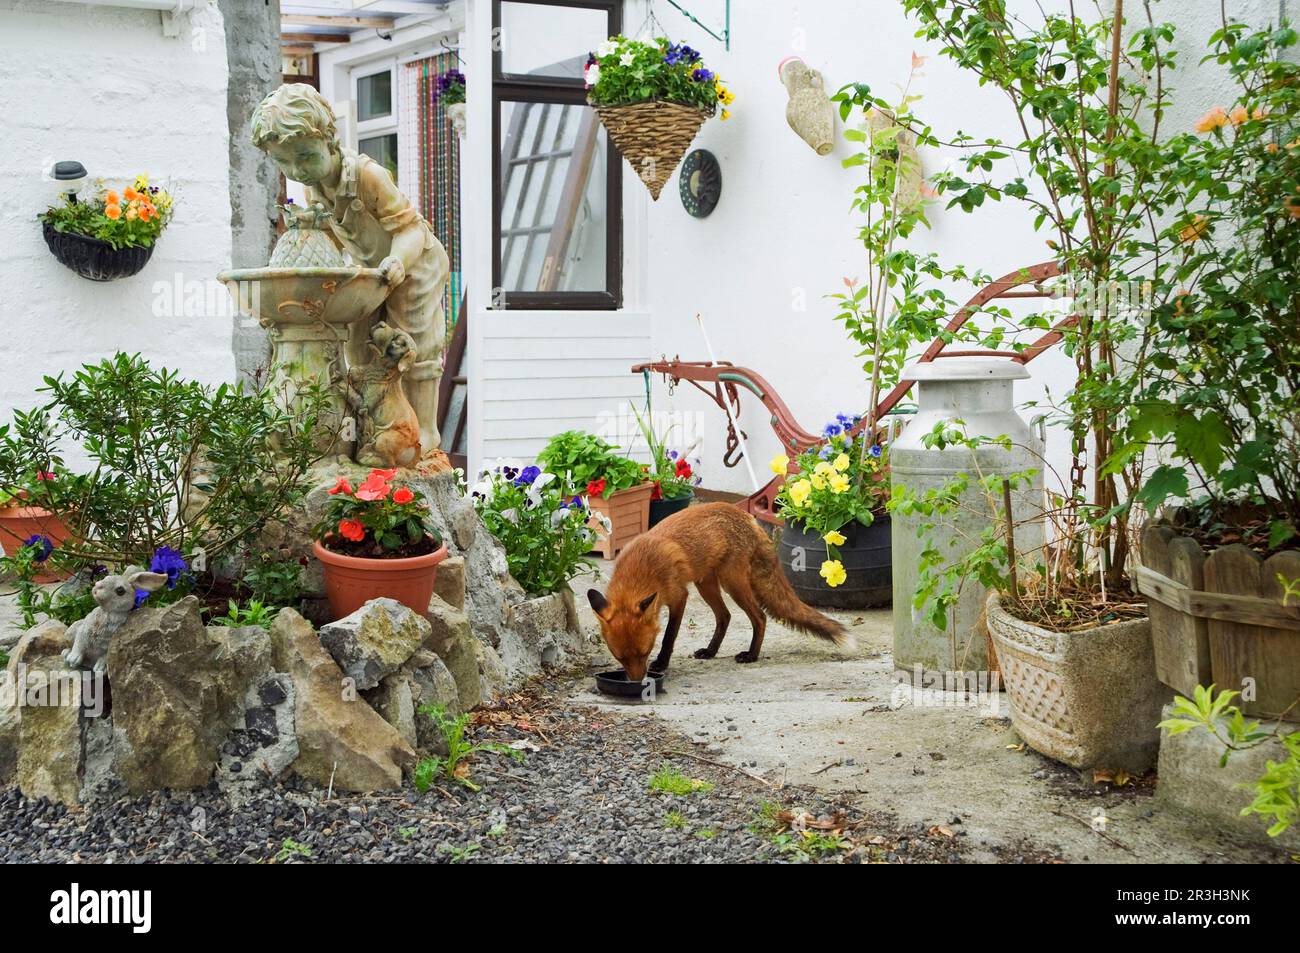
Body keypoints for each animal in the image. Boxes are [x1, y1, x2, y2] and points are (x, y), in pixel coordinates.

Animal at [587, 502, 855, 681]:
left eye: (644, 652)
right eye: (620, 658)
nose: (637, 681)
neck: (642, 569)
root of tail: (749, 517)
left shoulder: (679, 596)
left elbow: (669, 636)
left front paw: (661, 664)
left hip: (731, 583)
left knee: (759, 617)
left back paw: (751, 655)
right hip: (706, 584)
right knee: (725, 616)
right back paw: (711, 651)